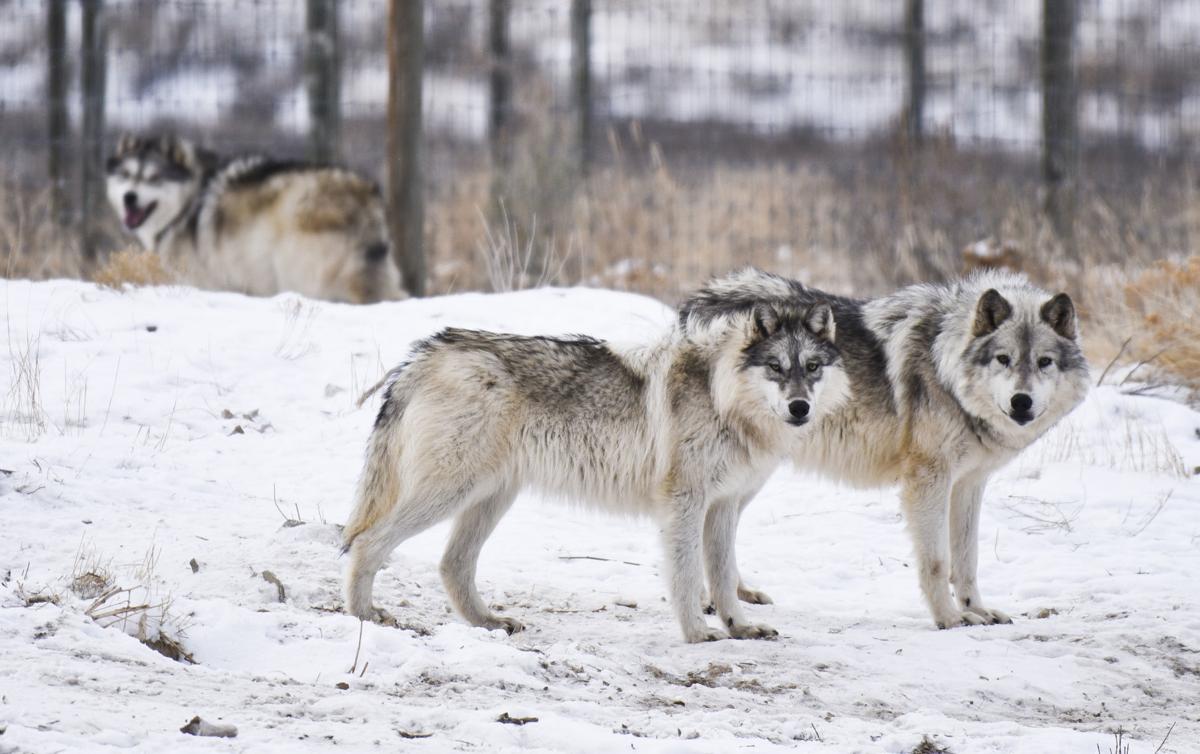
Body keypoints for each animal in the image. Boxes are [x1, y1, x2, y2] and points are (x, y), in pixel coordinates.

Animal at [105, 133, 401, 303]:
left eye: (154, 178)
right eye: (126, 175)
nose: (130, 197)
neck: (187, 205)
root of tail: (364, 192)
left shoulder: (204, 282)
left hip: (302, 274)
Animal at [342, 302, 849, 642]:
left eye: (812, 367)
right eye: (776, 367)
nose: (799, 408)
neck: (721, 394)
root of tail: (426, 351)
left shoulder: (723, 506)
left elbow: (723, 578)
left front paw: (740, 628)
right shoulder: (684, 503)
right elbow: (688, 577)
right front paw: (698, 634)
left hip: (491, 496)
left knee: (453, 564)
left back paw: (489, 622)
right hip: (452, 491)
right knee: (367, 542)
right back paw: (365, 614)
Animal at [680, 269, 1090, 630]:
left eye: (1044, 362)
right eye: (1003, 359)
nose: (1022, 402)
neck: (944, 366)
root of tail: (699, 300)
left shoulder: (969, 484)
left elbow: (967, 560)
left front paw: (978, 610)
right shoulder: (928, 480)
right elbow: (938, 562)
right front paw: (950, 619)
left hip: (751, 474)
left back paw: (736, 594)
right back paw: (704, 600)